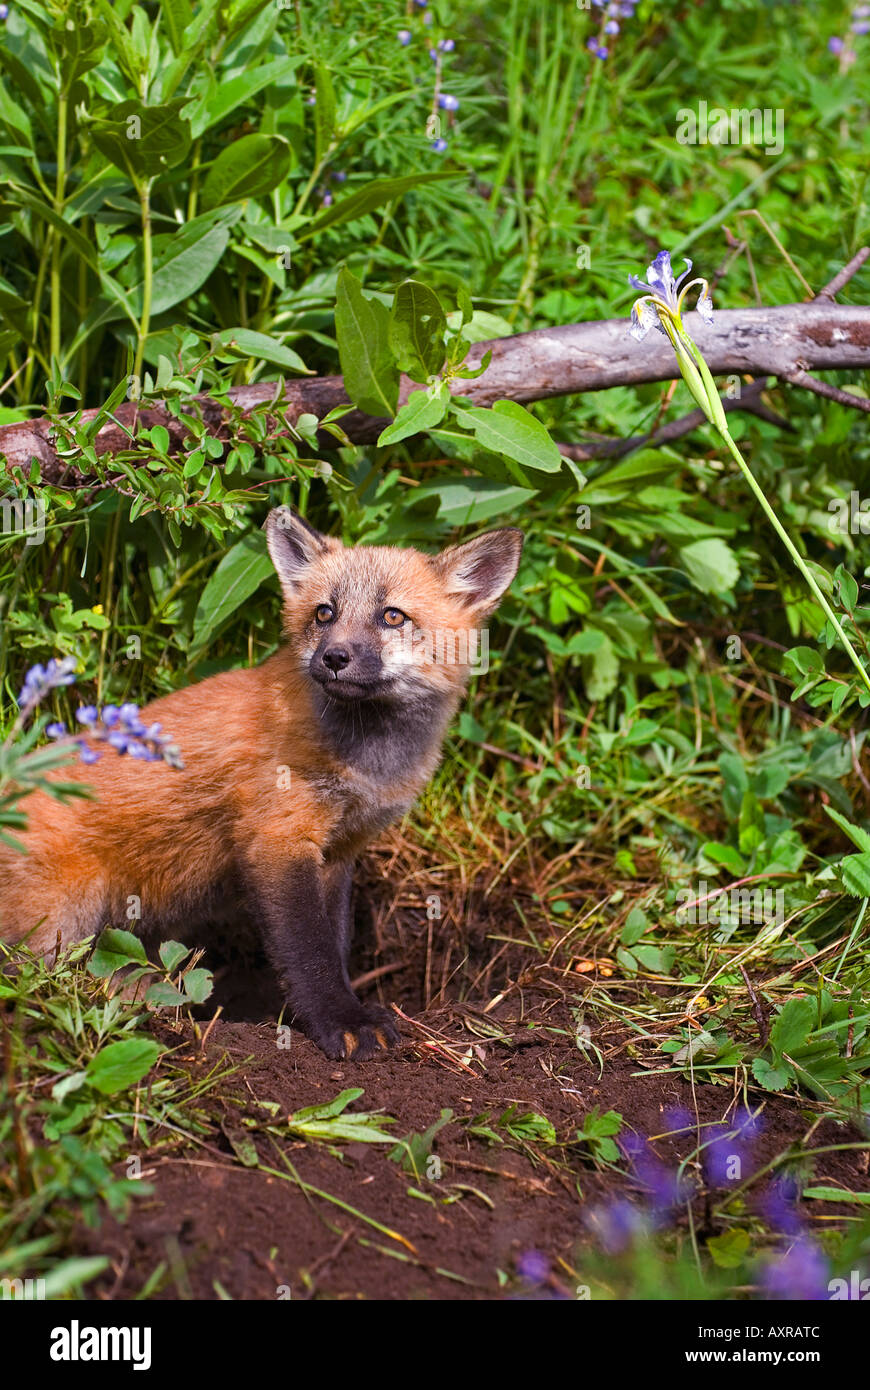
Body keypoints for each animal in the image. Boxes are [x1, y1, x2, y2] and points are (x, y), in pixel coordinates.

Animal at [0, 508, 523, 1060]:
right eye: (324, 613)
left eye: (393, 616)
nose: (334, 657)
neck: (366, 761)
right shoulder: (278, 839)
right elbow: (309, 954)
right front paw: (343, 1022)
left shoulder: (338, 853)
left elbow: (334, 944)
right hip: (67, 921)